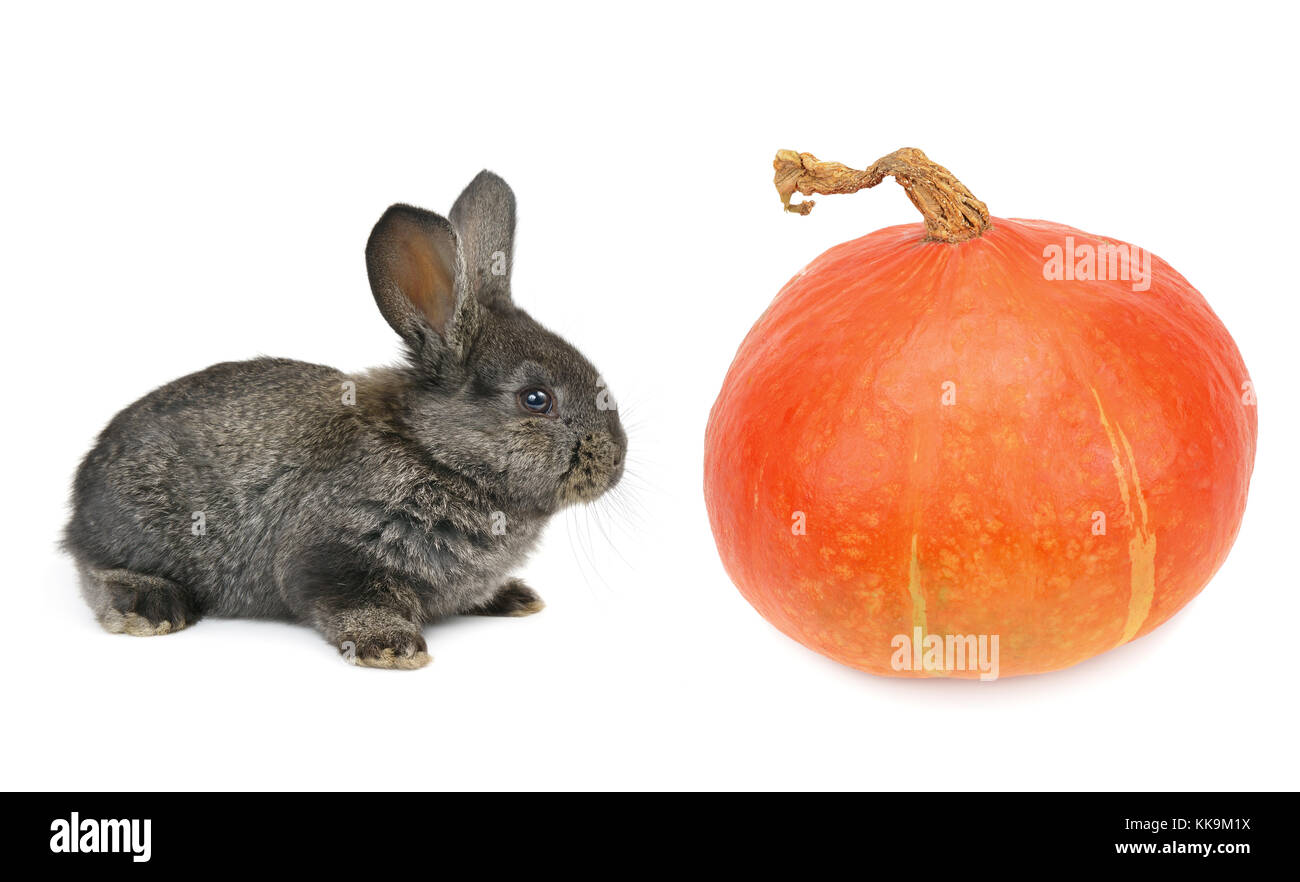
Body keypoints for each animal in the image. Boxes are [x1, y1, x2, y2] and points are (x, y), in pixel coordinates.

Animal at [63, 171, 626, 669]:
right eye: (536, 399)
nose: (616, 459)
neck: (433, 452)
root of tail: (79, 501)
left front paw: (512, 597)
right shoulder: (335, 554)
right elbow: (351, 601)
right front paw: (393, 650)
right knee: (96, 572)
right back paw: (149, 608)